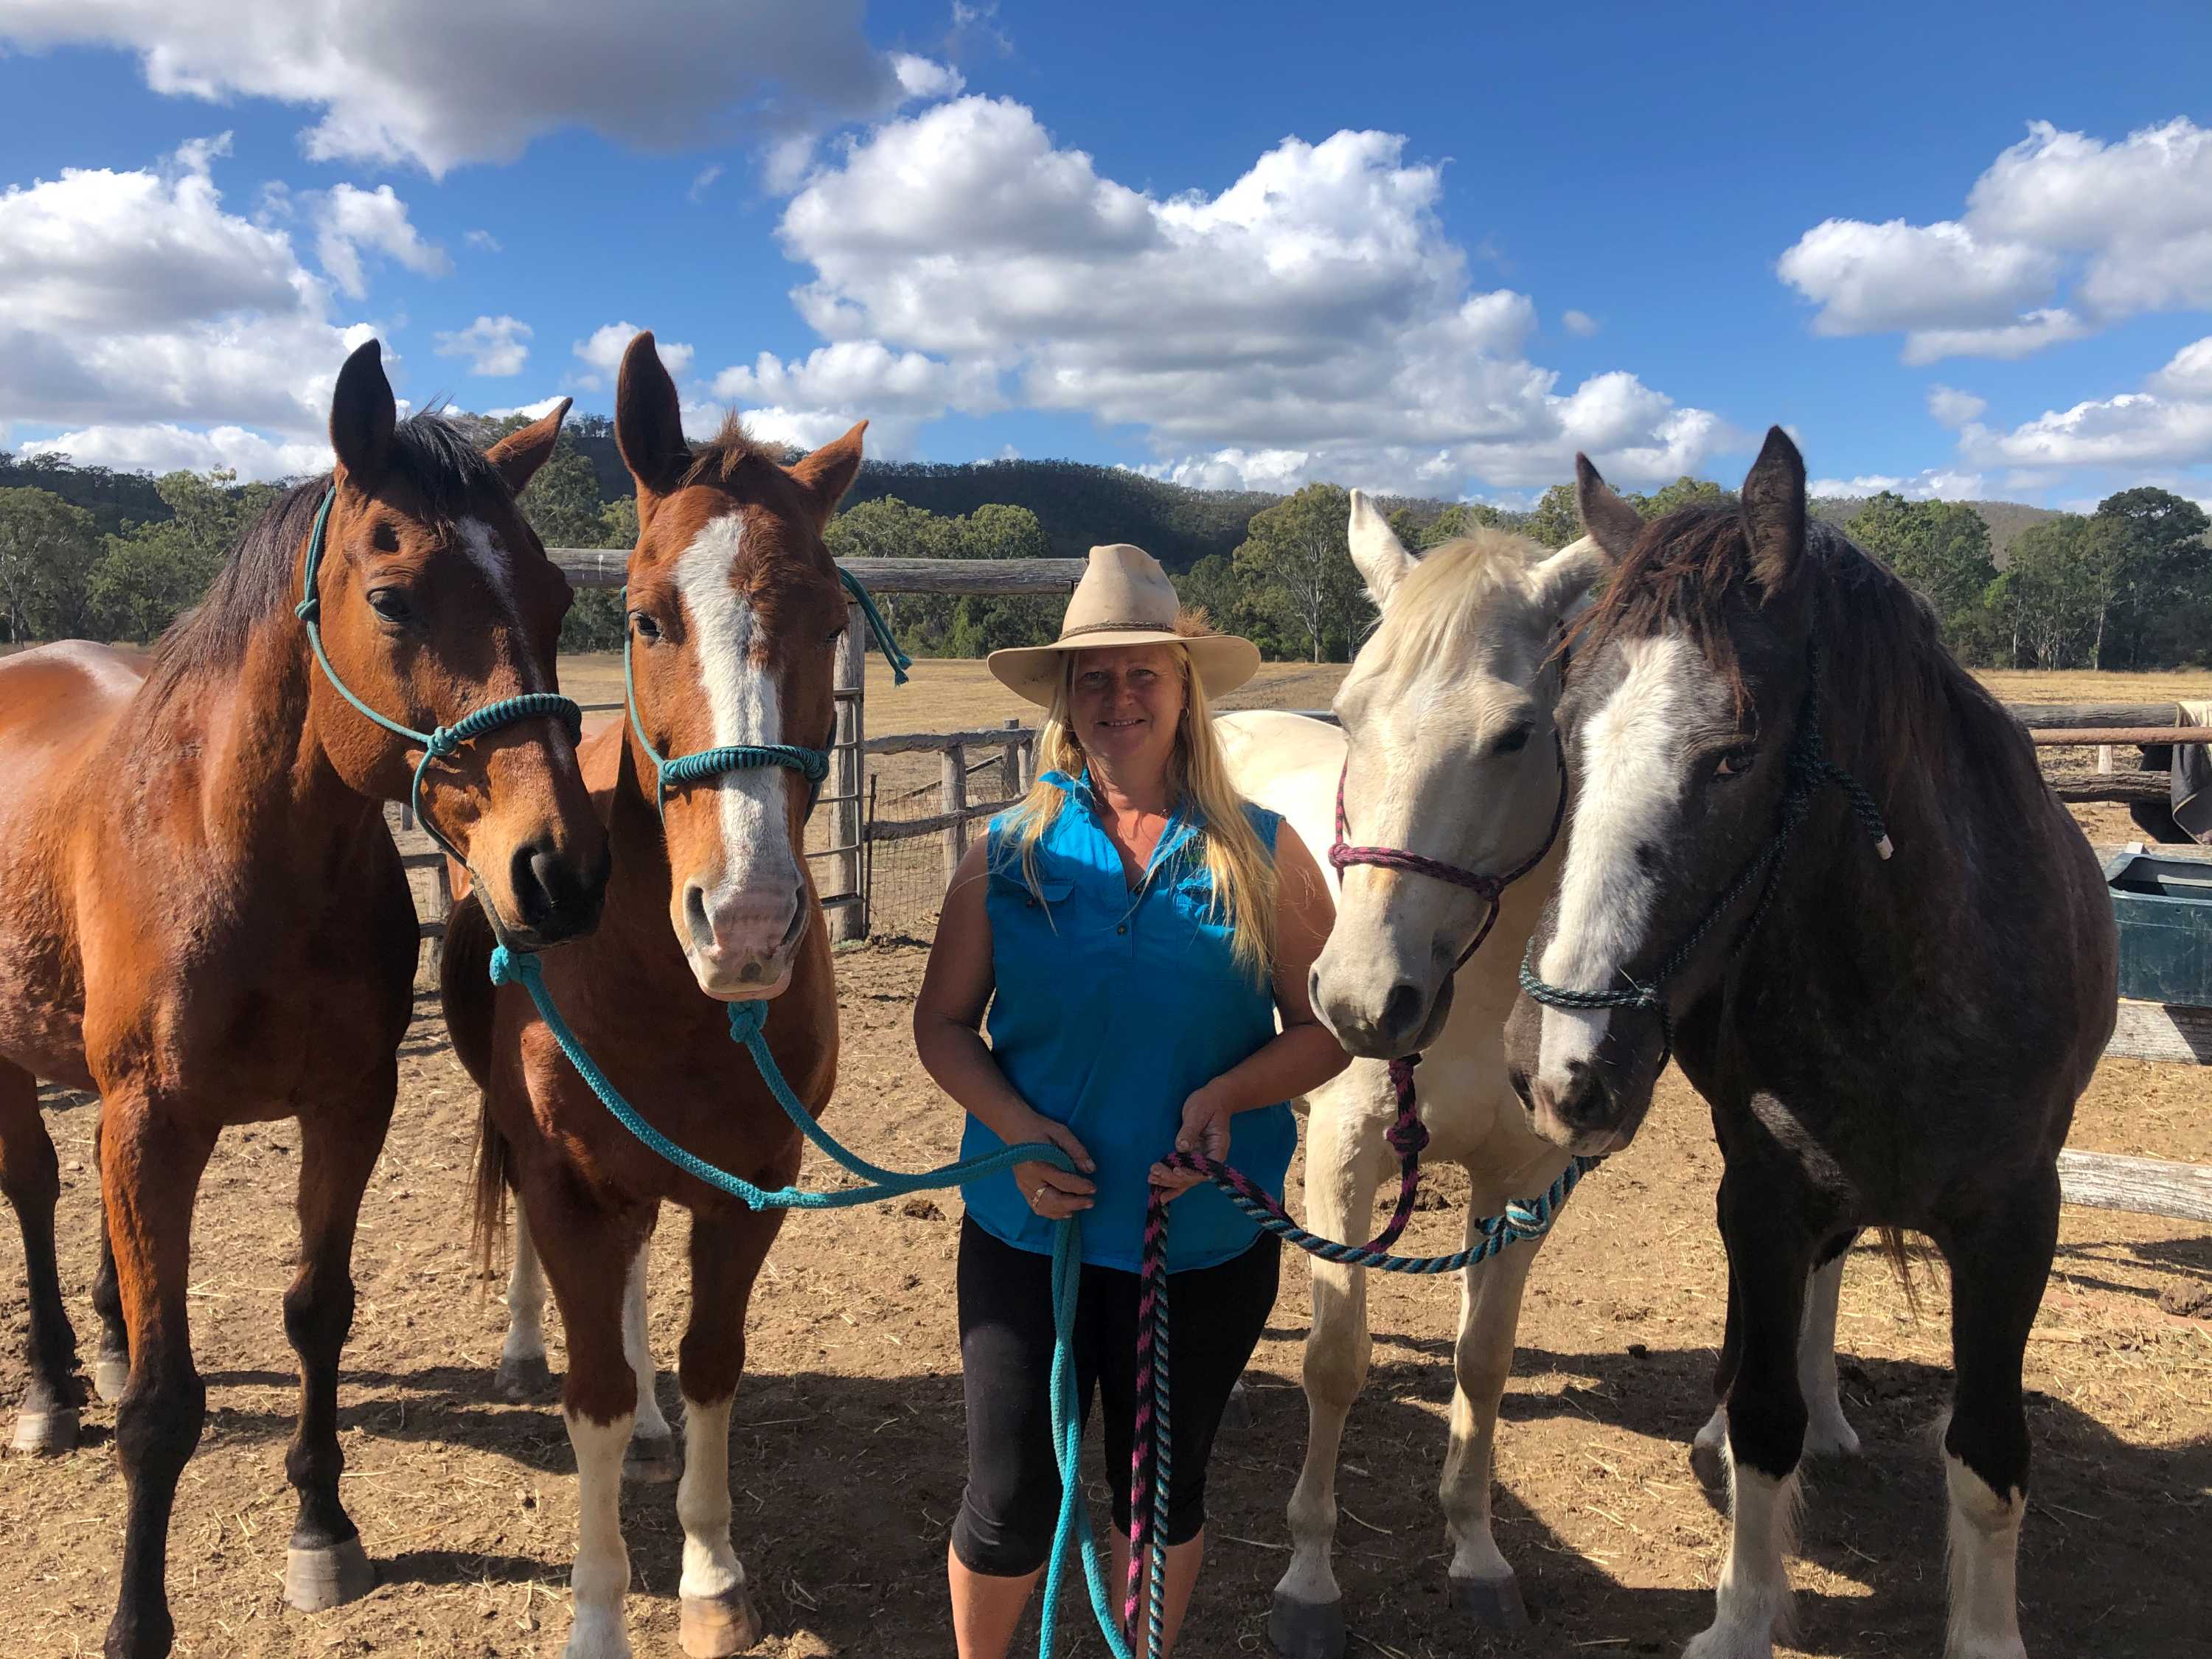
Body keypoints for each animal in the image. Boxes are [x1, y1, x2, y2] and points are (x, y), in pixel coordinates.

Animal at [0, 340, 608, 1659]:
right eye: (392, 599)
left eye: (554, 599)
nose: (563, 870)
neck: (234, 848)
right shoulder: (155, 1122)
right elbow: (165, 1406)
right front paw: (137, 1617)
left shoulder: (347, 1105)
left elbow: (318, 1310)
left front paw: (322, 1527)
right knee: (31, 1186)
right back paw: (49, 1386)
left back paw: (100, 1344)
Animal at [441, 330, 864, 1659]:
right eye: (645, 616)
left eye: (832, 618)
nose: (747, 921)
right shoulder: (571, 1186)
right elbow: (594, 1396)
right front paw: (596, 1614)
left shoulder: (753, 1187)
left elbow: (709, 1361)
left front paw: (712, 1577)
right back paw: (524, 1346)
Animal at [1504, 431, 2116, 1659]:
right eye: (1562, 730)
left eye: (1735, 756)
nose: (1559, 1068)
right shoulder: (1767, 1184)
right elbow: (1762, 1420)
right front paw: (1742, 1617)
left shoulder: (2017, 1219)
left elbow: (1988, 1457)